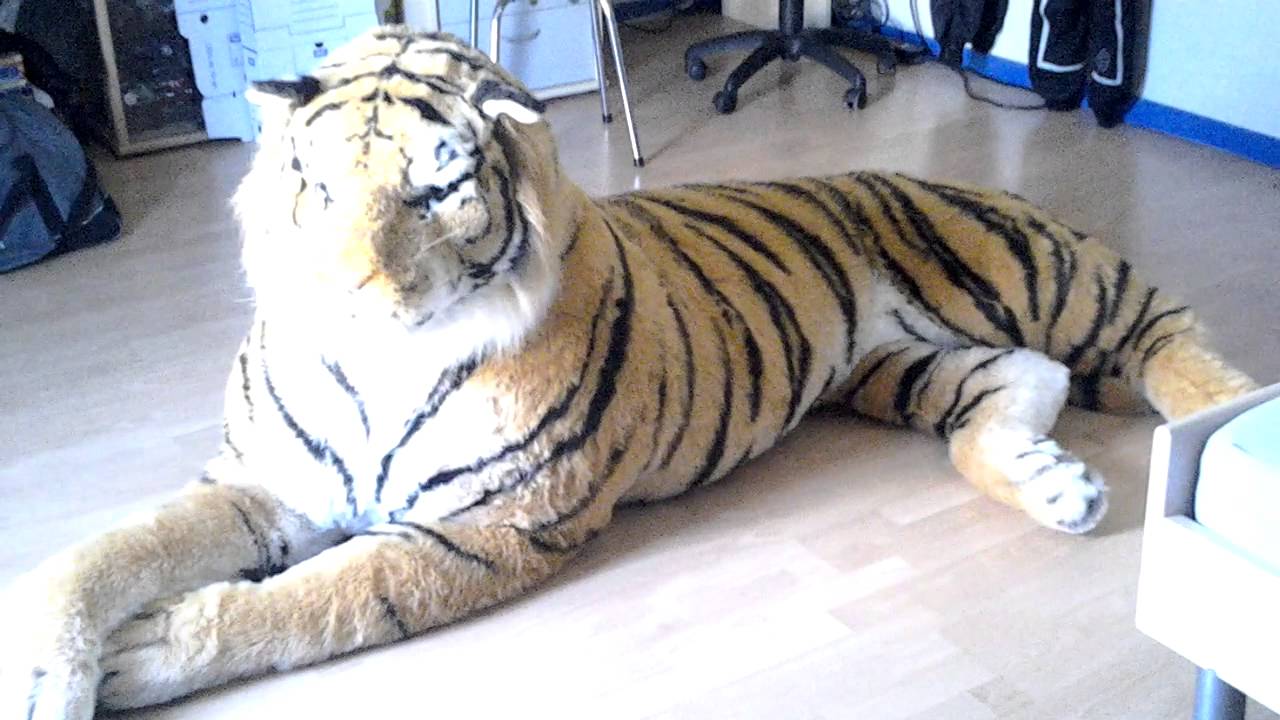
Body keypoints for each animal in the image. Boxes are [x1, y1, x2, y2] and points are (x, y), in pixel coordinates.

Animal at [1, 25, 1260, 719]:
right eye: (317, 184)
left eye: (435, 190)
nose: (351, 295)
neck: (372, 371)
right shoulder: (264, 483)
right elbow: (97, 555)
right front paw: (43, 673)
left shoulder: (485, 529)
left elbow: (323, 597)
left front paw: (148, 648)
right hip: (904, 369)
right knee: (1018, 387)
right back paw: (1059, 488)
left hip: (1033, 275)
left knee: (1162, 340)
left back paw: (1231, 454)